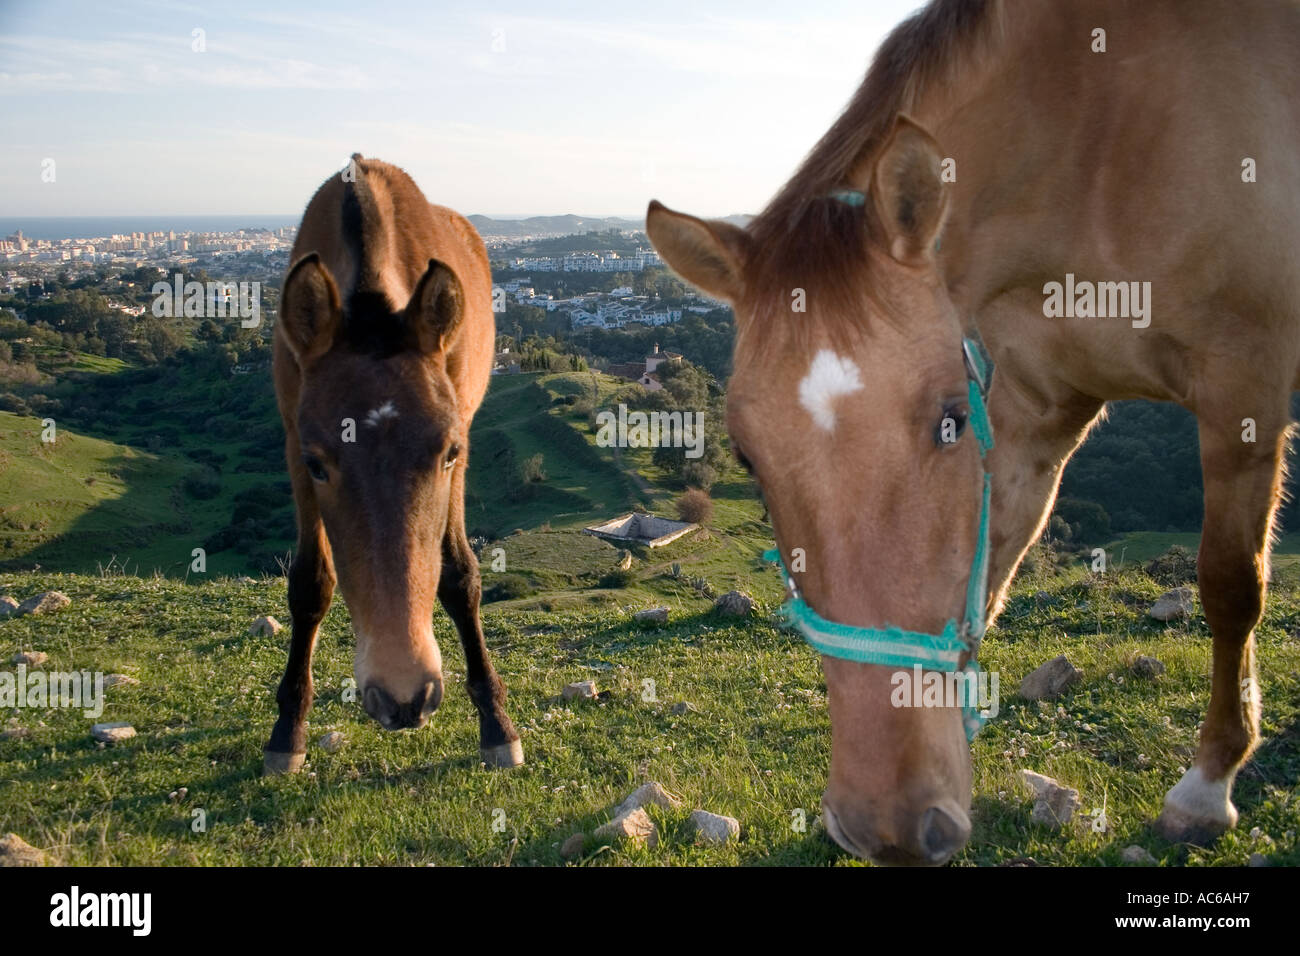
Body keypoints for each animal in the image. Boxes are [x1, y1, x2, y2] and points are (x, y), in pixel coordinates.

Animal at [262, 155, 523, 774]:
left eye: (448, 453)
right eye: (317, 464)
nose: (404, 695)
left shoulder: (461, 431)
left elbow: (459, 575)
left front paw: (496, 721)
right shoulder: (291, 435)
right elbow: (309, 583)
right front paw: (288, 729)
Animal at [647, 0, 1300, 864]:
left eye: (951, 422)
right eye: (748, 459)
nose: (887, 830)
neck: (1104, 133)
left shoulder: (1242, 385)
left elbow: (1231, 587)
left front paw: (1207, 785)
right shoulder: (1034, 411)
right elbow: (984, 589)